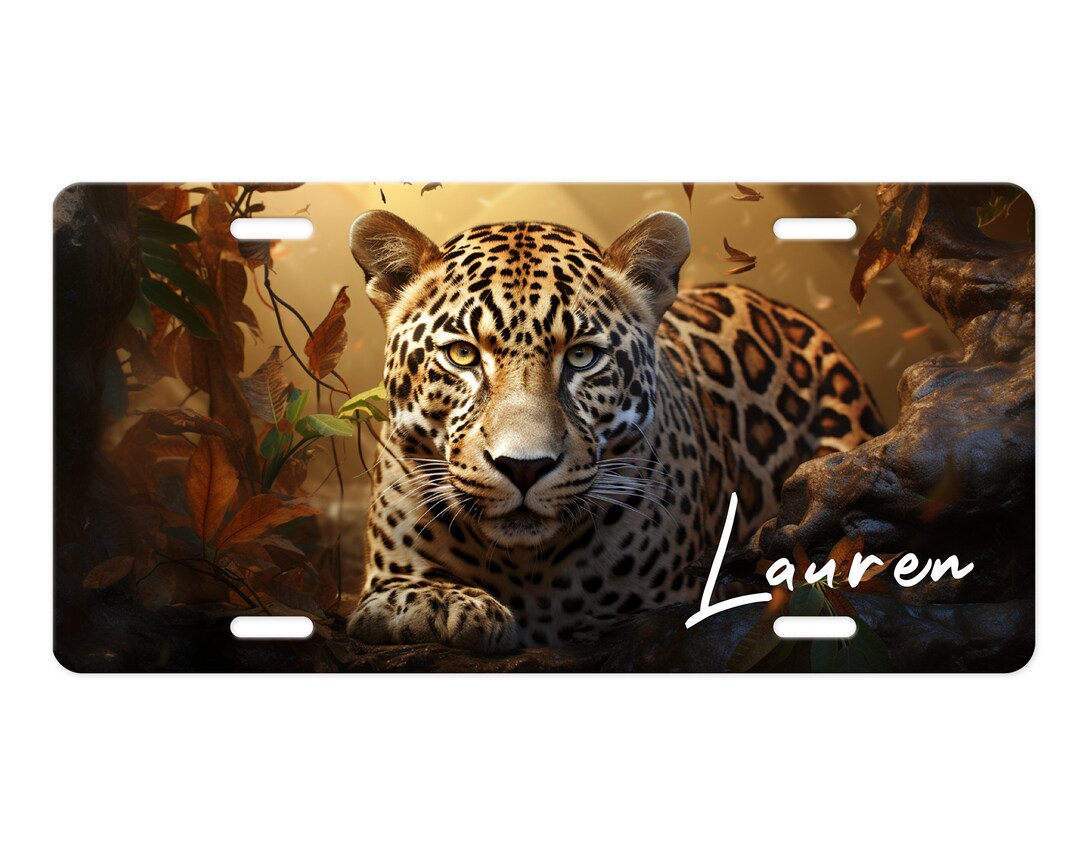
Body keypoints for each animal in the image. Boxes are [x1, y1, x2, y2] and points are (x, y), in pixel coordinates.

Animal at [344, 209, 884, 653]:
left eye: (582, 356)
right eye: (461, 354)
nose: (524, 469)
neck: (526, 567)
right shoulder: (388, 570)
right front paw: (440, 605)